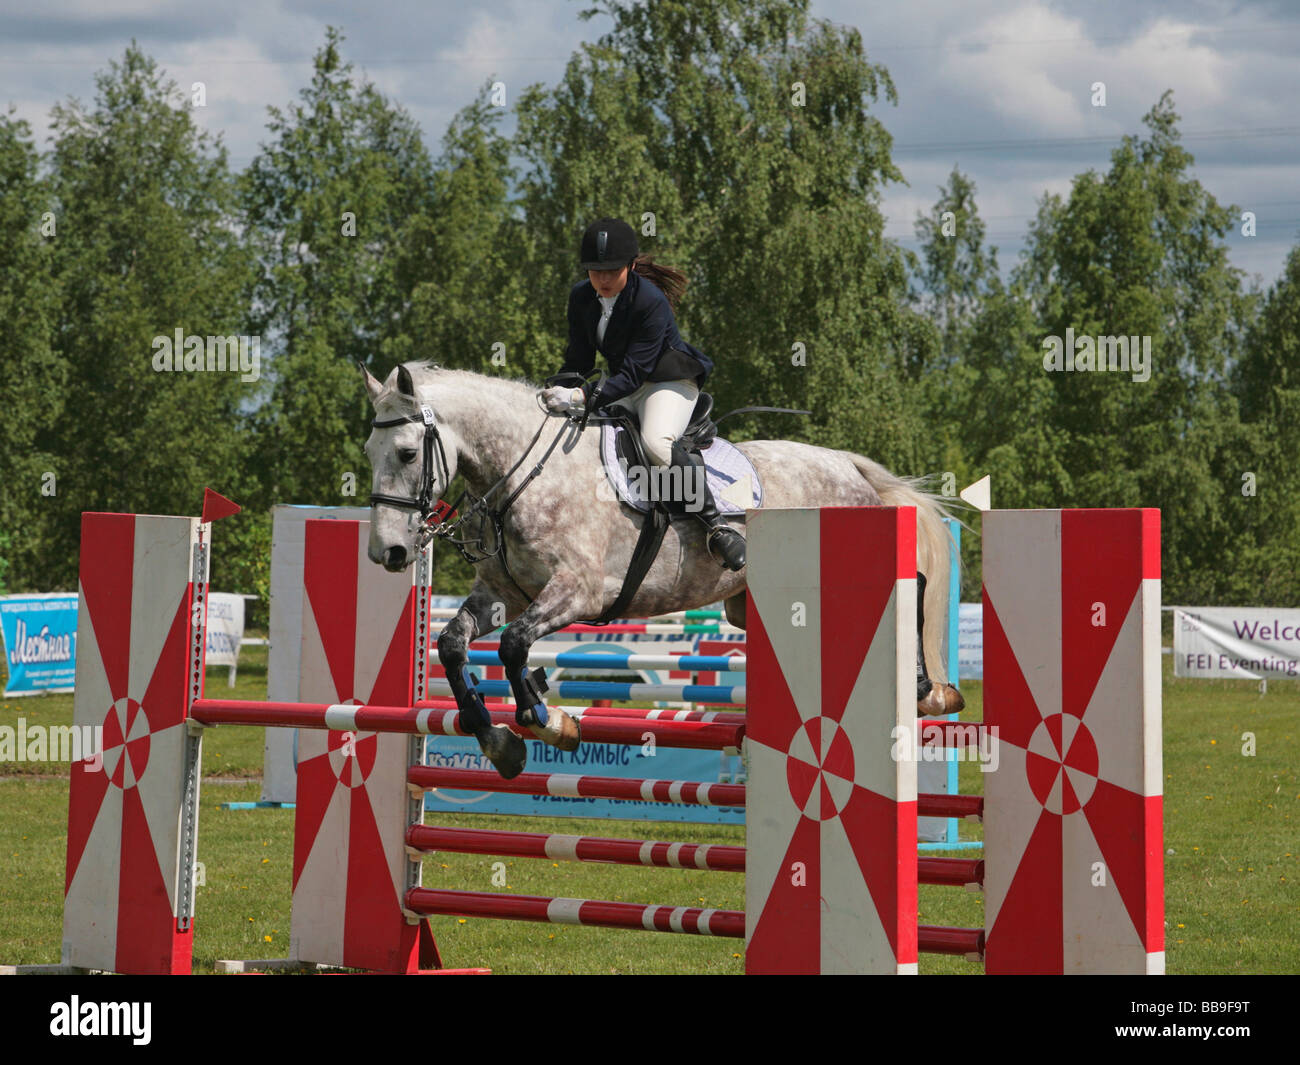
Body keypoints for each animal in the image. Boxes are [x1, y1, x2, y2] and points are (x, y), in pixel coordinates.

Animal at [362, 361, 962, 779]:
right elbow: (452, 644)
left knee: (914, 586)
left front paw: (550, 722)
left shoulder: (577, 593)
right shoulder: (501, 593)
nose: (388, 553)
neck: (523, 471)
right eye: (369, 451)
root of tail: (845, 462)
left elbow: (512, 647)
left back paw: (929, 690)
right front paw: (501, 744)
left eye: (408, 453)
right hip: (750, 604)